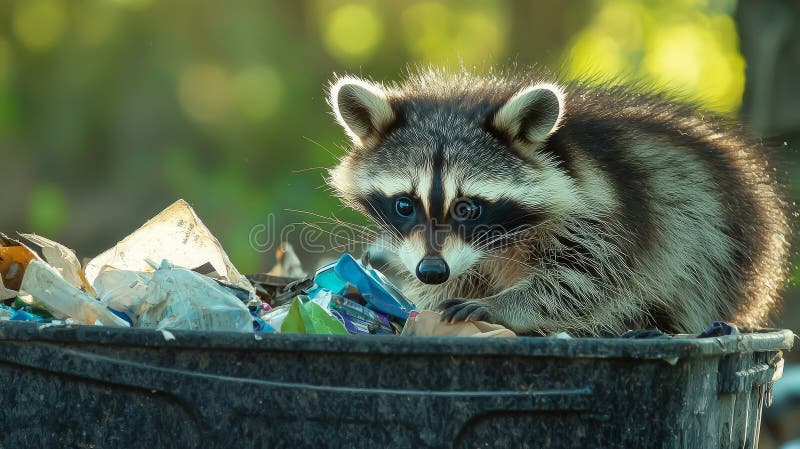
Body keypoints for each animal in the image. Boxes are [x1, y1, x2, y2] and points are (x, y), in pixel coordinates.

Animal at [324, 69, 789, 336]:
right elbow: (455, 279)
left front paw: (503, 307)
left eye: (468, 208)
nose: (431, 270)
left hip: (714, 256)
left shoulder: (604, 210)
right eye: (405, 205)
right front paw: (433, 297)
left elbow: (584, 280)